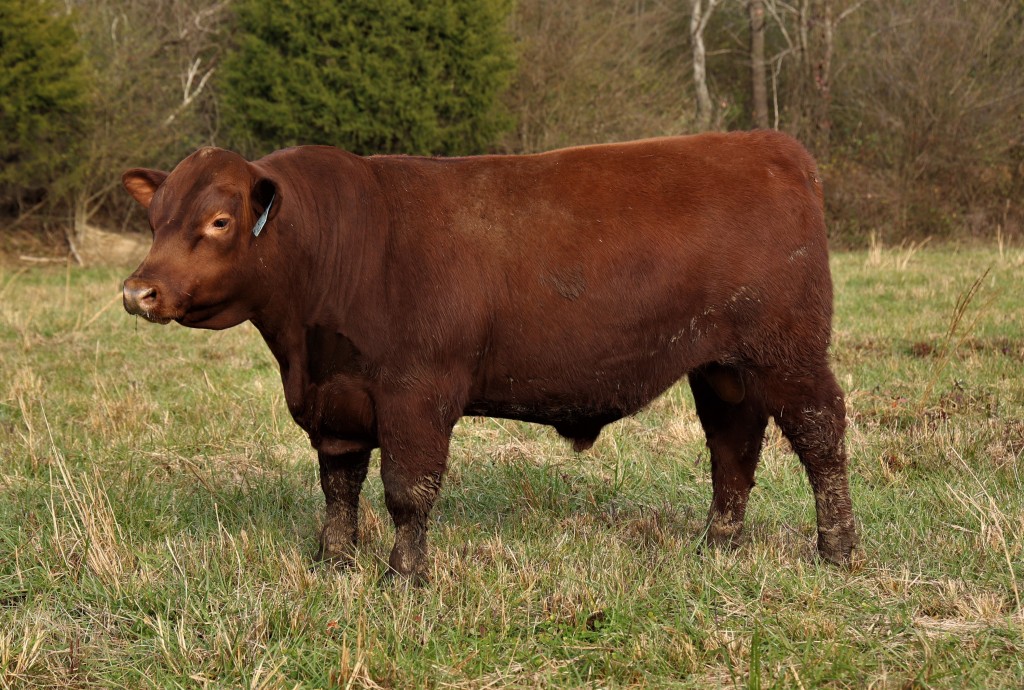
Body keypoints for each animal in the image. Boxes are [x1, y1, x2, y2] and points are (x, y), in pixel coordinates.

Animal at [121, 131, 857, 581]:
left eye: (219, 220)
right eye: (155, 217)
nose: (138, 290)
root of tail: (768, 144)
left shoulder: (416, 392)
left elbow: (407, 489)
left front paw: (404, 576)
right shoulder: (334, 403)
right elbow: (339, 487)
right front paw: (334, 564)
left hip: (788, 353)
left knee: (821, 437)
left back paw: (839, 550)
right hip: (723, 366)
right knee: (733, 445)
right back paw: (717, 546)